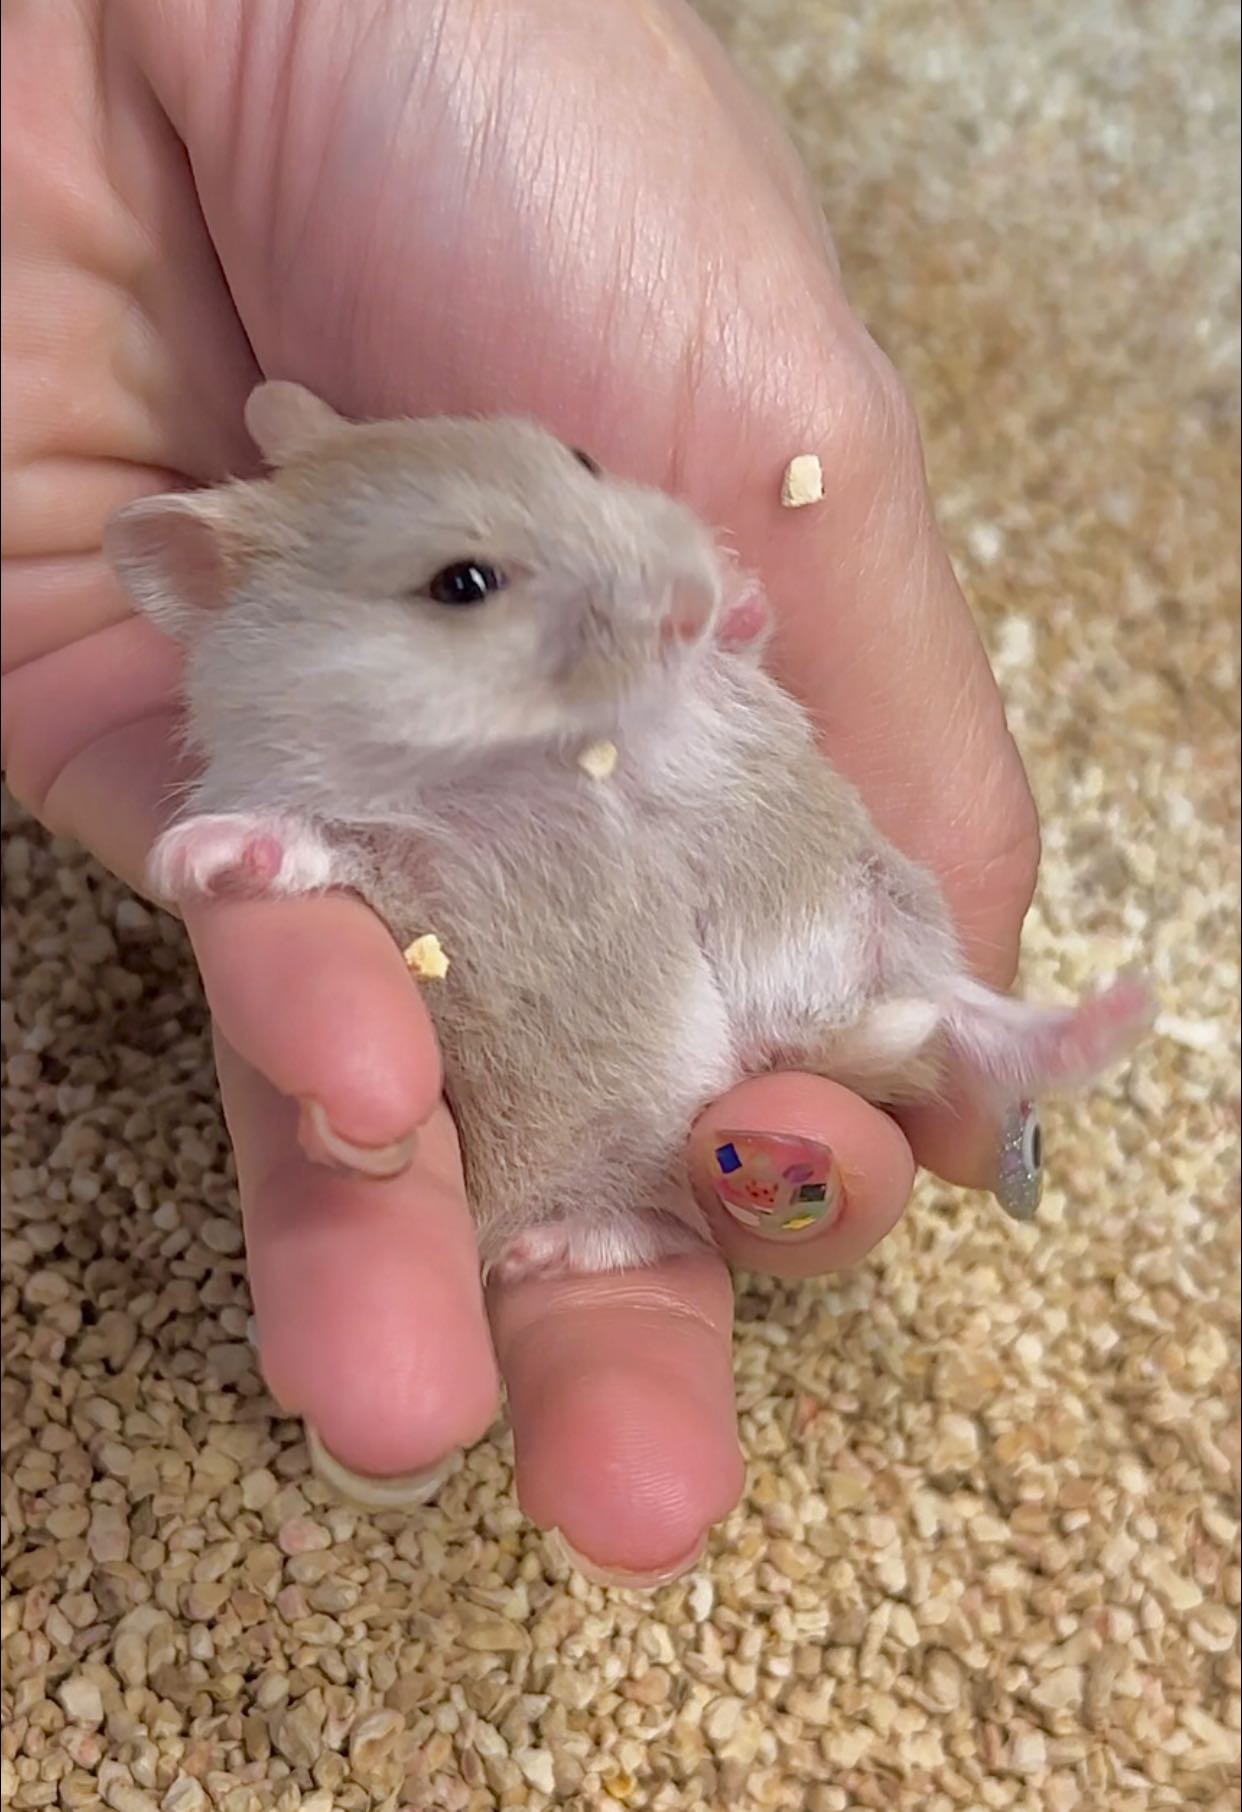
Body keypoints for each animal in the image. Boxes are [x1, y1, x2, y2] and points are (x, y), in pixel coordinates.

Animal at [104, 381, 1151, 1280]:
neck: (540, 750)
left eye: (581, 459)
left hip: (888, 908)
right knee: (662, 1225)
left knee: (969, 1018)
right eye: (462, 583)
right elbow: (307, 841)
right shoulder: (382, 850)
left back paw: (1119, 1008)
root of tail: (813, 1031)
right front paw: (192, 854)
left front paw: (738, 596)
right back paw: (561, 1243)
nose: (689, 601)